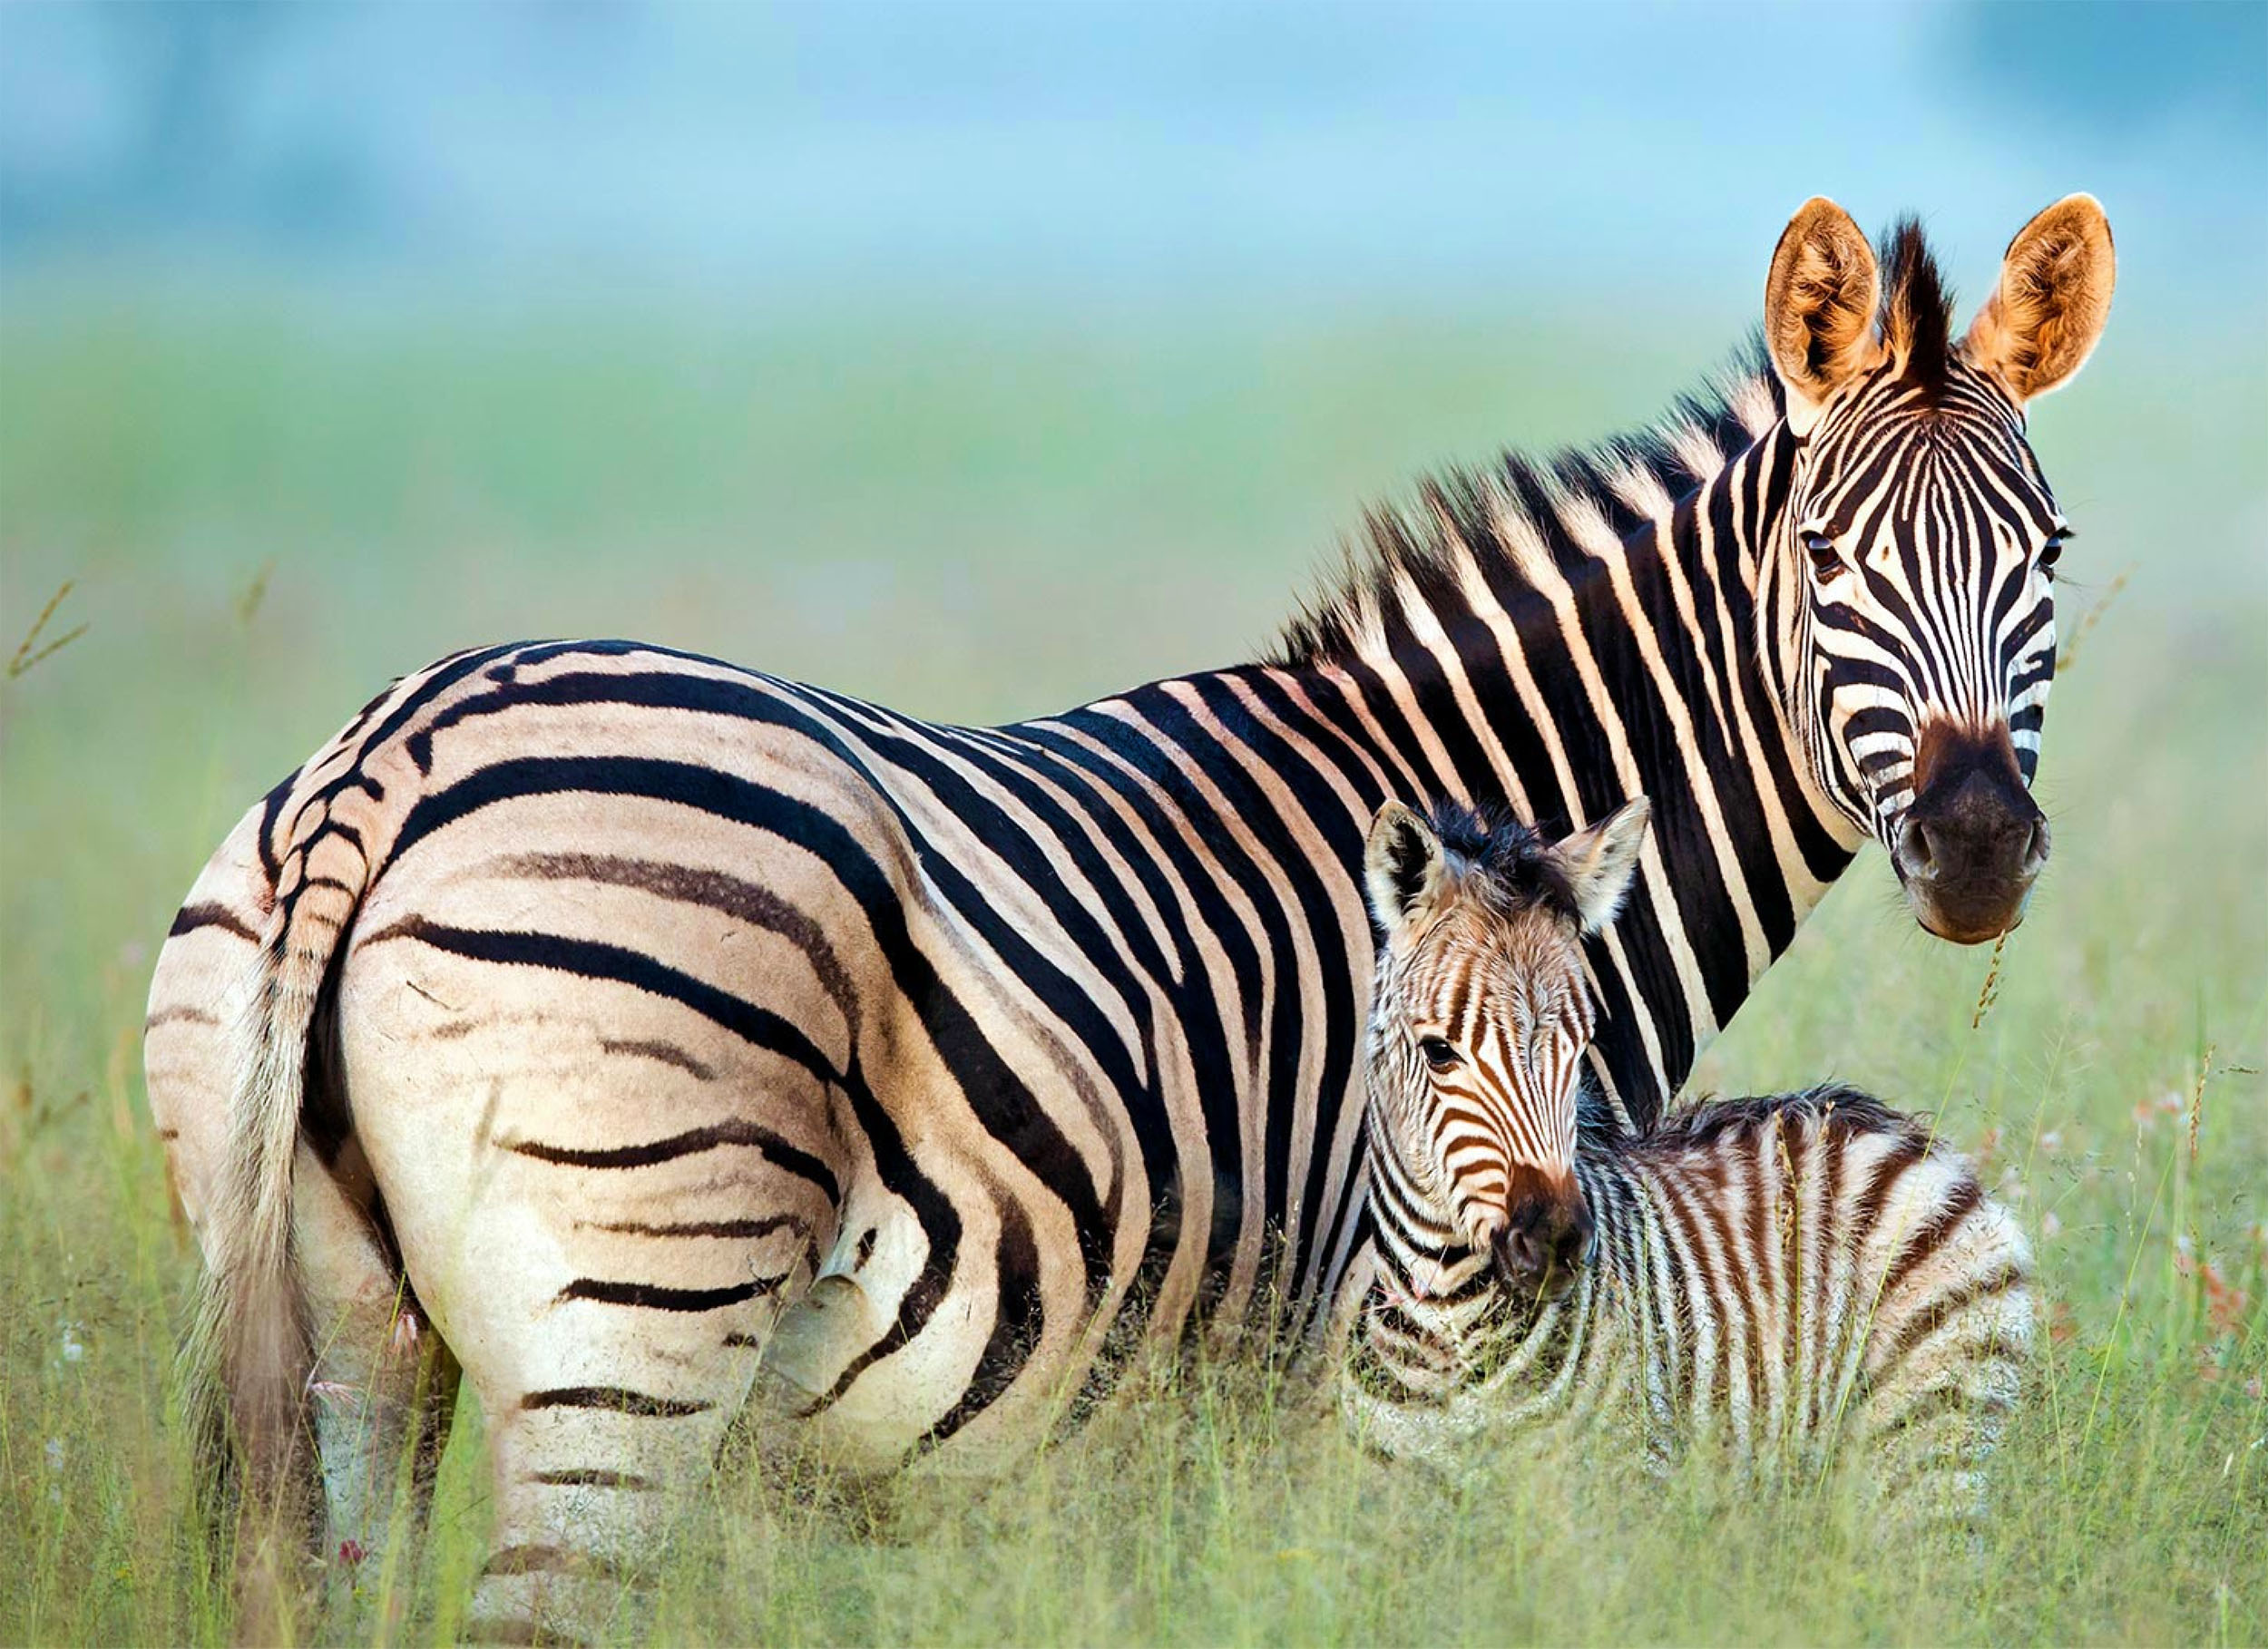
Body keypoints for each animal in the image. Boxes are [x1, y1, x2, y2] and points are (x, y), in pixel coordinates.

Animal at [1342, 797, 2034, 1518]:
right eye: (1438, 1051)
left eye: (1582, 1046)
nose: (1557, 1242)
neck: (1445, 1324)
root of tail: (1893, 1125)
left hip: (1931, 1449)